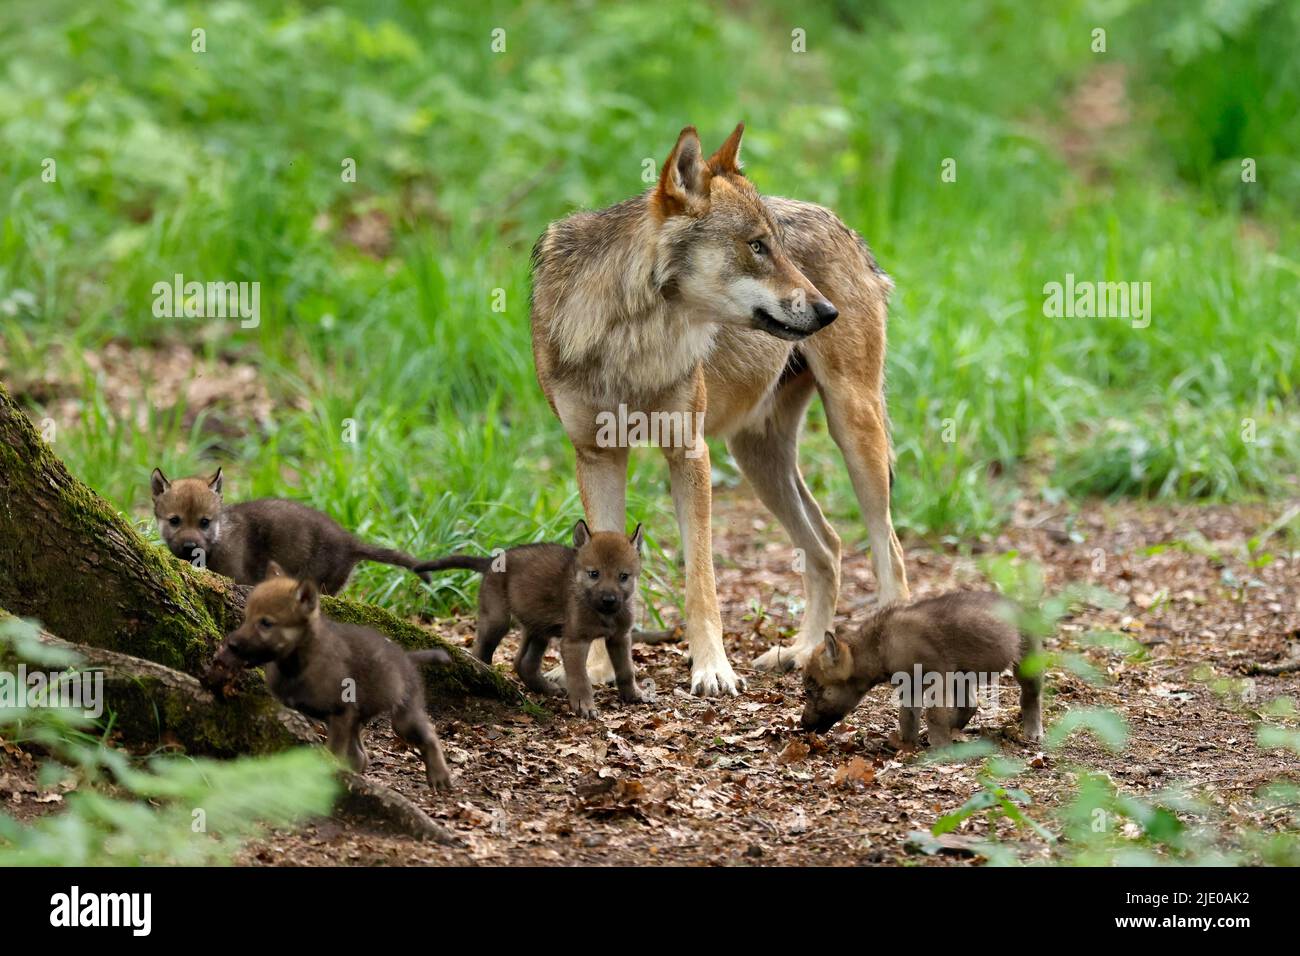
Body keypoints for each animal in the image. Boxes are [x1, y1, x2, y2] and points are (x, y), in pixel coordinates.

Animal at [530, 123, 908, 696]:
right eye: (756, 246)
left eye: (777, 246)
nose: (828, 311)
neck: (632, 337)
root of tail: (846, 228)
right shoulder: (596, 456)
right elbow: (597, 556)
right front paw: (593, 671)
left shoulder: (690, 452)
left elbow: (701, 581)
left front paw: (712, 670)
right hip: (757, 458)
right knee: (828, 546)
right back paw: (801, 652)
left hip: (852, 429)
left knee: (890, 550)